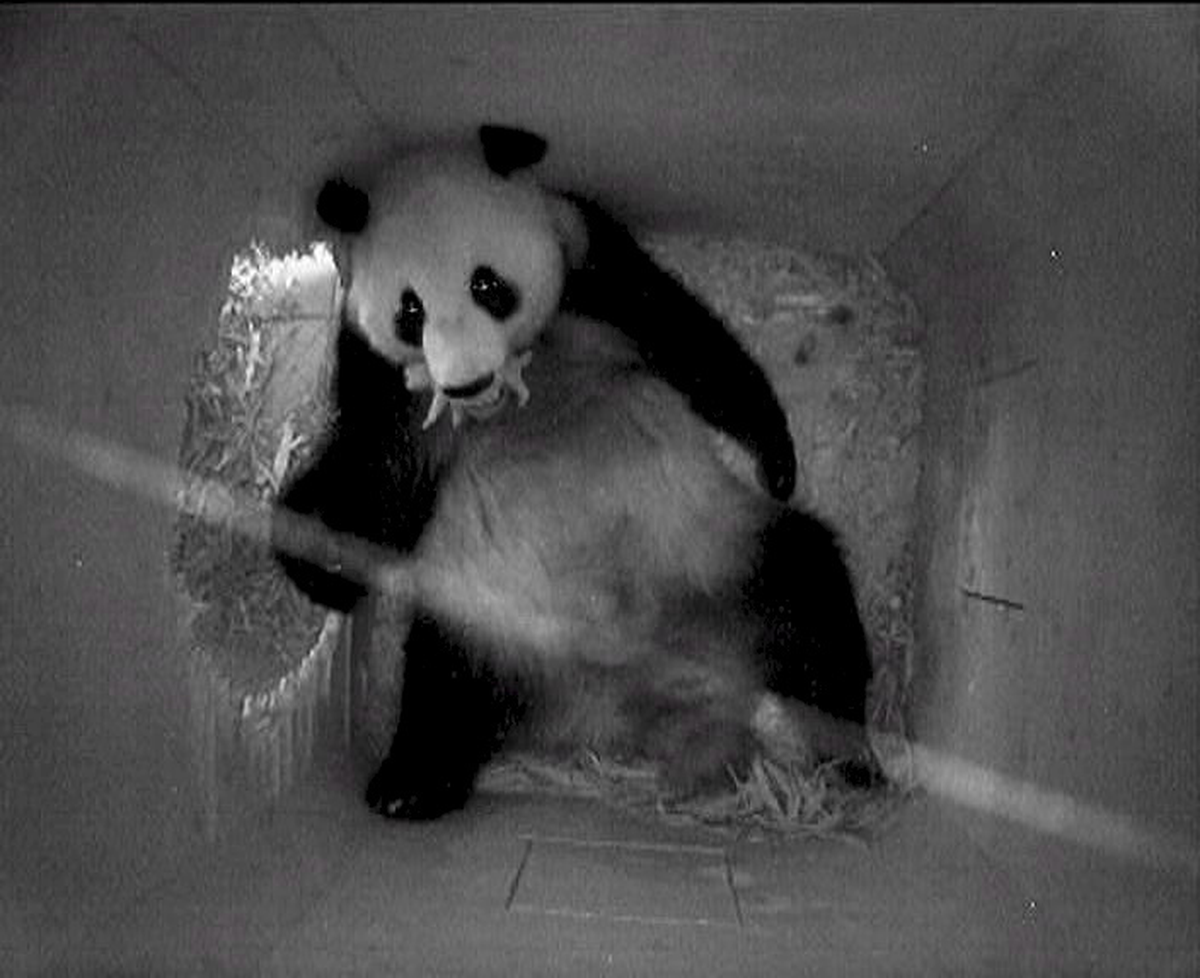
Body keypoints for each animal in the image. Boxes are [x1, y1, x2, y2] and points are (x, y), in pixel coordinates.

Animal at [272, 125, 874, 819]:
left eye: (488, 286)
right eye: (410, 312)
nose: (466, 382)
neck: (519, 384)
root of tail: (614, 702)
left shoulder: (595, 271)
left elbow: (692, 343)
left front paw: (776, 460)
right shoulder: (389, 388)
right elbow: (376, 481)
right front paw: (314, 547)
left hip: (721, 554)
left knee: (812, 596)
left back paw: (853, 756)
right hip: (483, 611)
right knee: (442, 690)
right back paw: (409, 783)